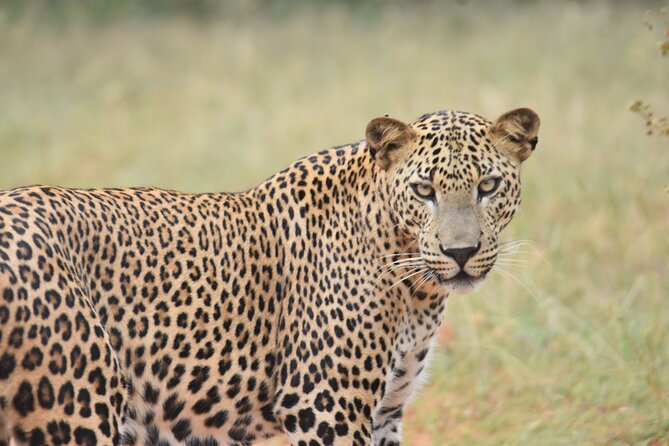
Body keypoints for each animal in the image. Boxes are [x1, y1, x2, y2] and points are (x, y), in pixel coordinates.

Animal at [0, 107, 540, 446]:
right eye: (424, 191)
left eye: (488, 186)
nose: (461, 252)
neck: (417, 287)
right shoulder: (325, 405)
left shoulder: (386, 412)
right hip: (74, 407)